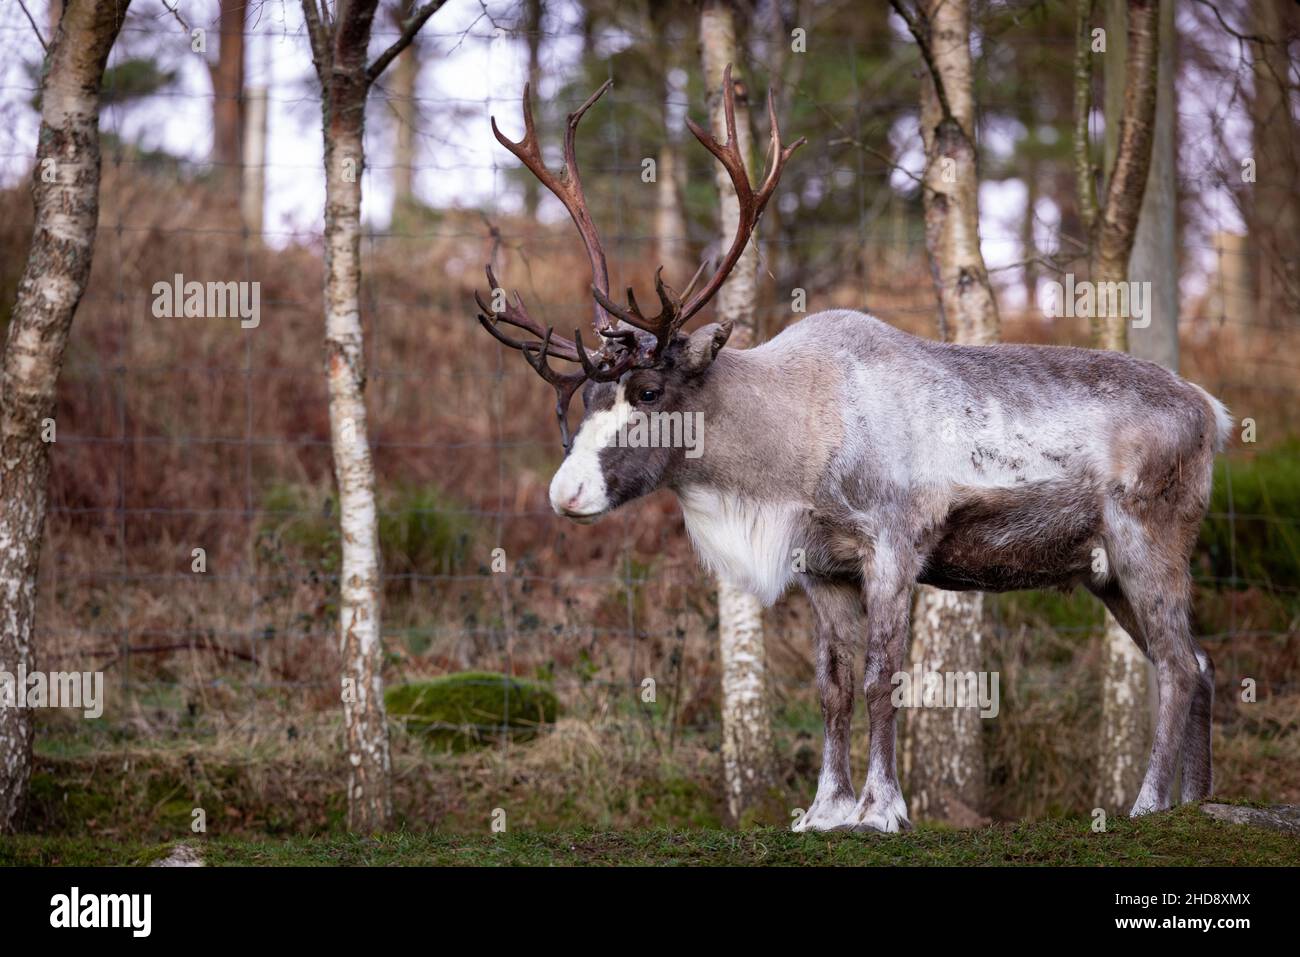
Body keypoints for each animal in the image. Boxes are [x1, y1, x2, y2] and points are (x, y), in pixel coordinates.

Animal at [473, 70, 1232, 832]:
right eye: (588, 398)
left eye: (651, 390)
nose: (565, 492)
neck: (790, 446)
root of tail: (1212, 409)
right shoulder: (822, 570)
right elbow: (830, 688)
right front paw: (824, 809)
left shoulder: (895, 547)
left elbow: (879, 680)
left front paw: (883, 807)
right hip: (1105, 573)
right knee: (1199, 663)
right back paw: (1199, 802)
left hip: (1147, 542)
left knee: (1176, 665)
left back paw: (1148, 804)